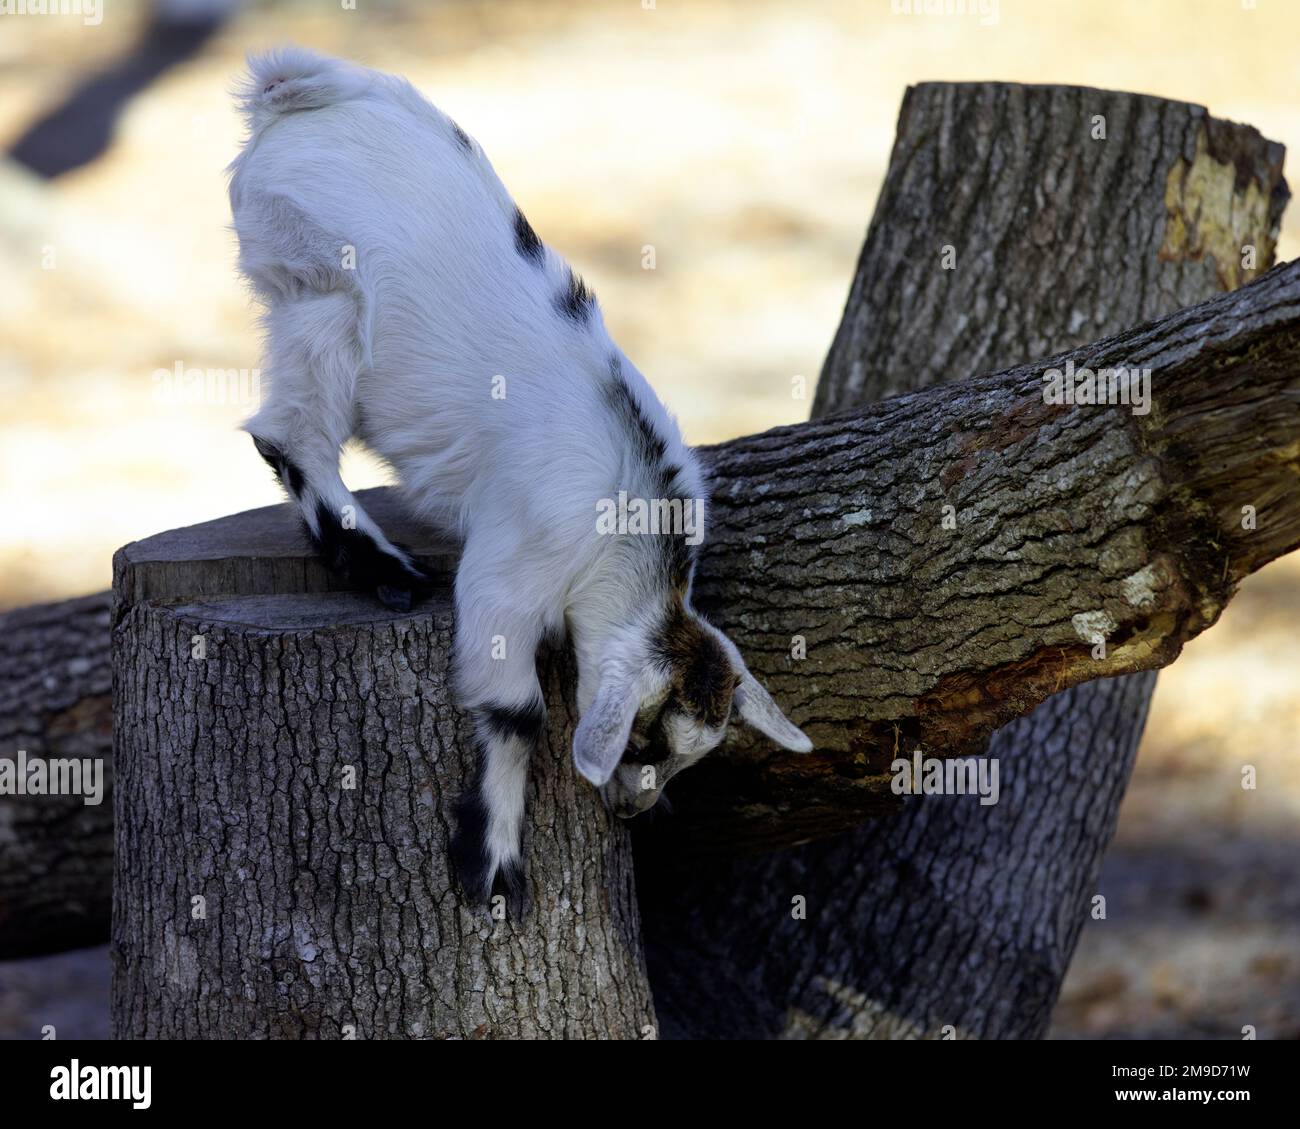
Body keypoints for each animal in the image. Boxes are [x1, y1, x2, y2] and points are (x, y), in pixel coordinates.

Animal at [228, 47, 812, 906]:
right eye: (645, 736)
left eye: (686, 755)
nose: (633, 810)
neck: (627, 522)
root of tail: (308, 88)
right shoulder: (514, 569)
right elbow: (517, 709)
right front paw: (494, 857)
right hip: (322, 290)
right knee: (289, 429)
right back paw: (378, 566)